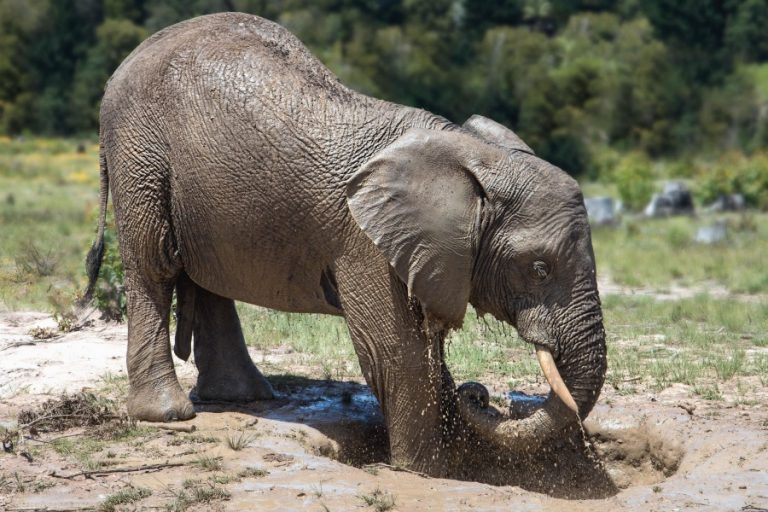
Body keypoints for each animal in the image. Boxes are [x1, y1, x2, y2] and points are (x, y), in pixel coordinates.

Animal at [84, 12, 606, 477]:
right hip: (139, 150)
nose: (483, 394)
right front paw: (426, 472)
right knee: (153, 265)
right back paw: (169, 414)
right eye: (538, 268)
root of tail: (122, 67)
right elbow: (397, 352)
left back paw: (244, 397)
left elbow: (423, 348)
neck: (471, 156)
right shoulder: (365, 242)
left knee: (208, 279)